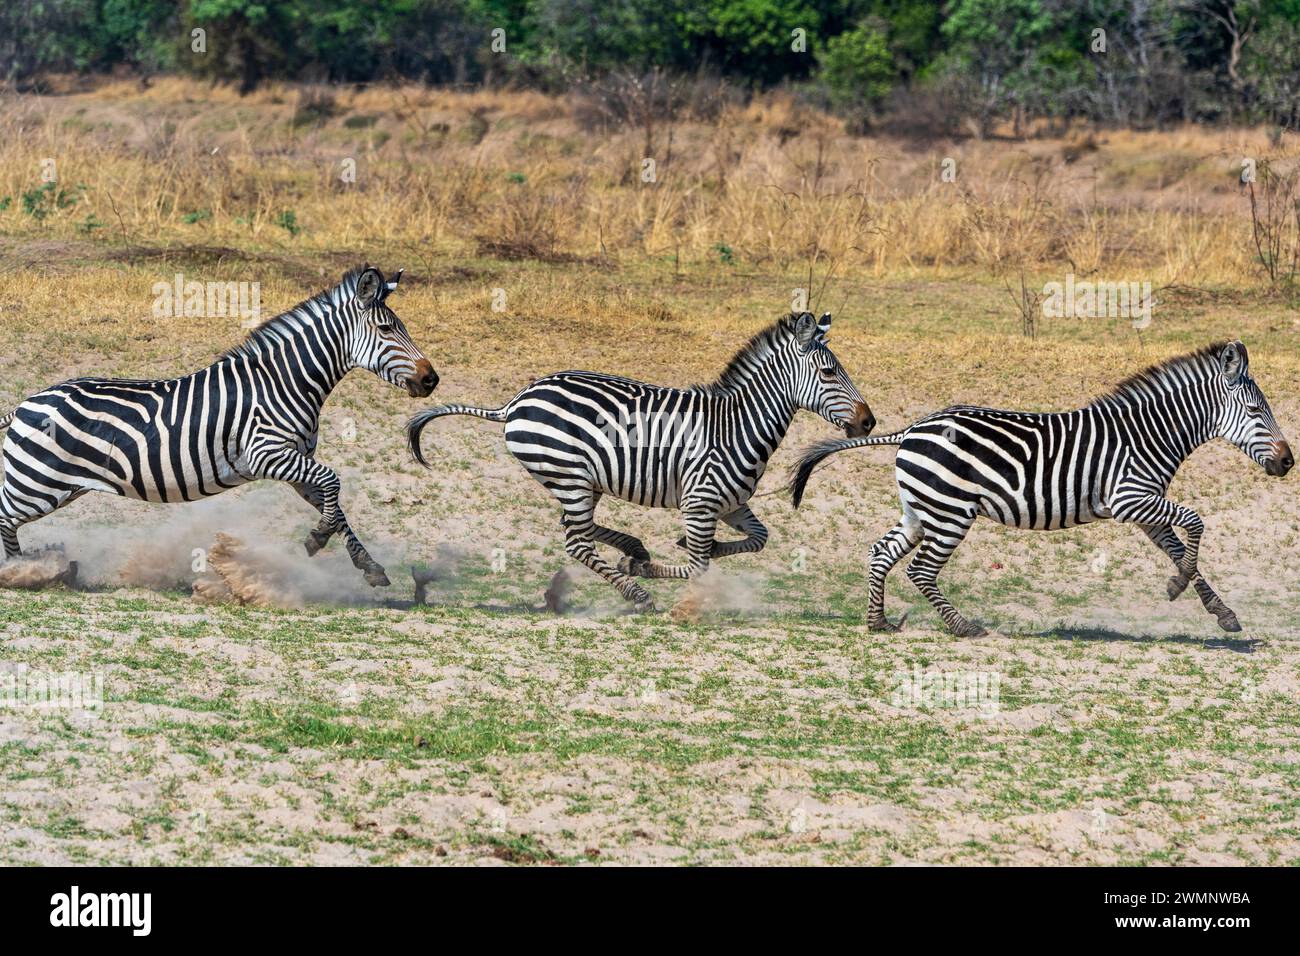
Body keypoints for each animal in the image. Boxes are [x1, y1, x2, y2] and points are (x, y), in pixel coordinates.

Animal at [0, 266, 437, 588]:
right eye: (386, 330)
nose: (431, 380)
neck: (284, 381)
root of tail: (26, 401)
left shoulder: (295, 463)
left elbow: (336, 506)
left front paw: (367, 565)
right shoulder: (266, 455)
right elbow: (334, 482)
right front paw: (316, 540)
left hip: (55, 487)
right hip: (36, 484)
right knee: (5, 518)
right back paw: (19, 574)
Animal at [407, 312, 874, 611]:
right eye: (829, 373)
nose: (868, 422)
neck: (738, 425)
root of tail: (516, 400)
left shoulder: (730, 503)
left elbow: (758, 539)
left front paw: (680, 551)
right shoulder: (700, 502)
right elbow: (699, 566)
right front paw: (660, 579)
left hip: (582, 481)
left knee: (575, 529)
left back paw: (633, 549)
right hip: (571, 478)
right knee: (576, 542)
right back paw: (637, 592)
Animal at [788, 341, 1292, 636]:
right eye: (1255, 411)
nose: (1289, 462)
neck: (1150, 433)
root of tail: (911, 429)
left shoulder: (1144, 507)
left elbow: (1178, 547)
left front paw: (1216, 609)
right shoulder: (1131, 500)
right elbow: (1195, 522)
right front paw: (1177, 587)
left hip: (920, 510)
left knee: (881, 553)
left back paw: (878, 621)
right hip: (950, 513)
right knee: (921, 571)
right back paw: (963, 627)